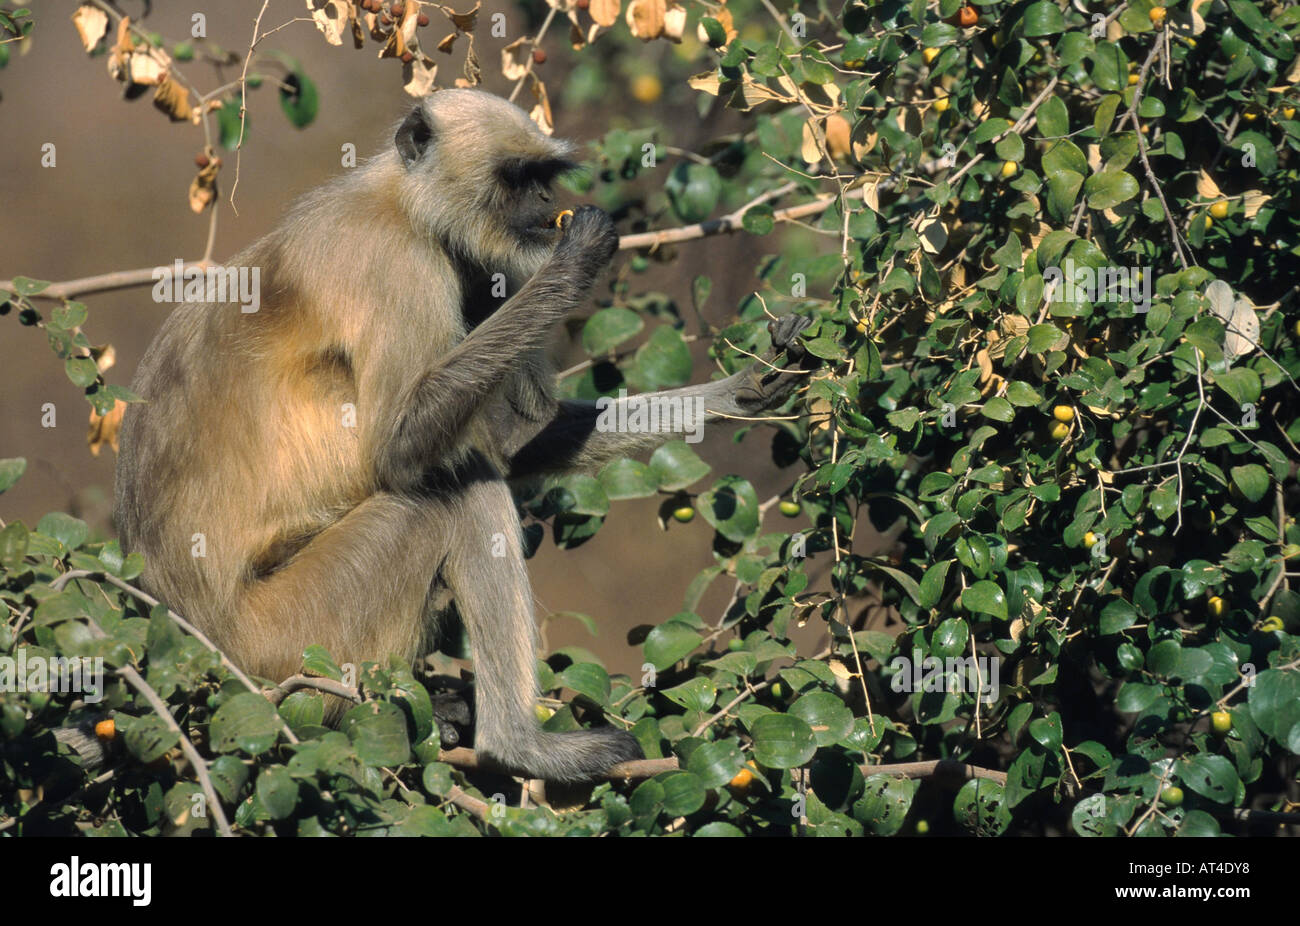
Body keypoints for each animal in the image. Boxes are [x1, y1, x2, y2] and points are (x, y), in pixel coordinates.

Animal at [113, 89, 810, 783]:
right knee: (453, 494)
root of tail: (196, 648)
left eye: (543, 177)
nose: (544, 206)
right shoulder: (395, 266)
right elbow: (399, 450)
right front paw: (572, 266)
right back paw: (518, 746)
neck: (403, 203)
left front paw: (744, 390)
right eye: (515, 179)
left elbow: (507, 441)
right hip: (290, 637)